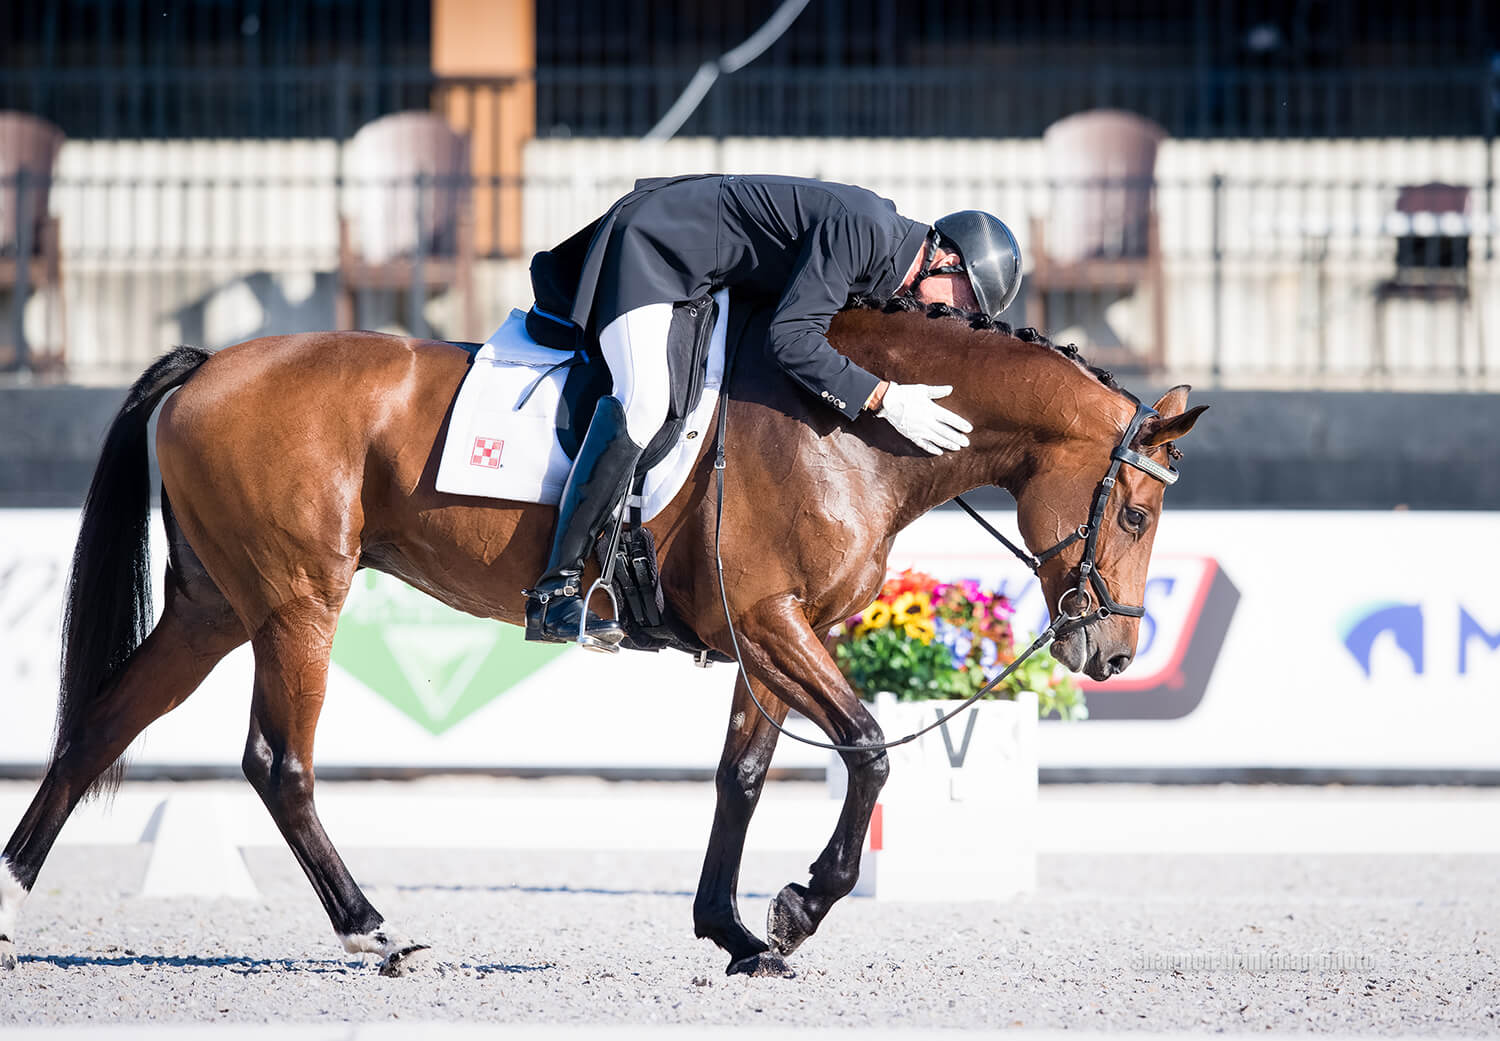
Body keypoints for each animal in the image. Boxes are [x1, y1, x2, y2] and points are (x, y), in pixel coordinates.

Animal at [0, 296, 1205, 978]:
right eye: (1136, 513)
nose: (1109, 656)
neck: (849, 422)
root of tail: (208, 366)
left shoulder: (779, 631)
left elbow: (743, 774)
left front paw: (737, 935)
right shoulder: (773, 620)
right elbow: (865, 749)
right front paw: (800, 909)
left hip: (214, 605)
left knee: (97, 730)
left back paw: (11, 909)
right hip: (297, 601)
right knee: (276, 763)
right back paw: (374, 933)